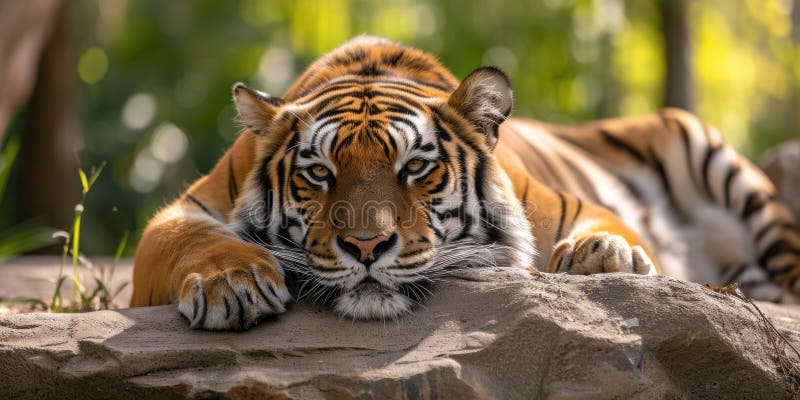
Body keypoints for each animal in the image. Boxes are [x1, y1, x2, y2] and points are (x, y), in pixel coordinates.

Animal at [131, 36, 800, 330]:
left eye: (416, 168)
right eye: (319, 173)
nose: (367, 248)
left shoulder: (563, 200)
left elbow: (611, 224)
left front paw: (603, 255)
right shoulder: (189, 208)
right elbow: (185, 239)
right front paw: (233, 283)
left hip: (721, 162)